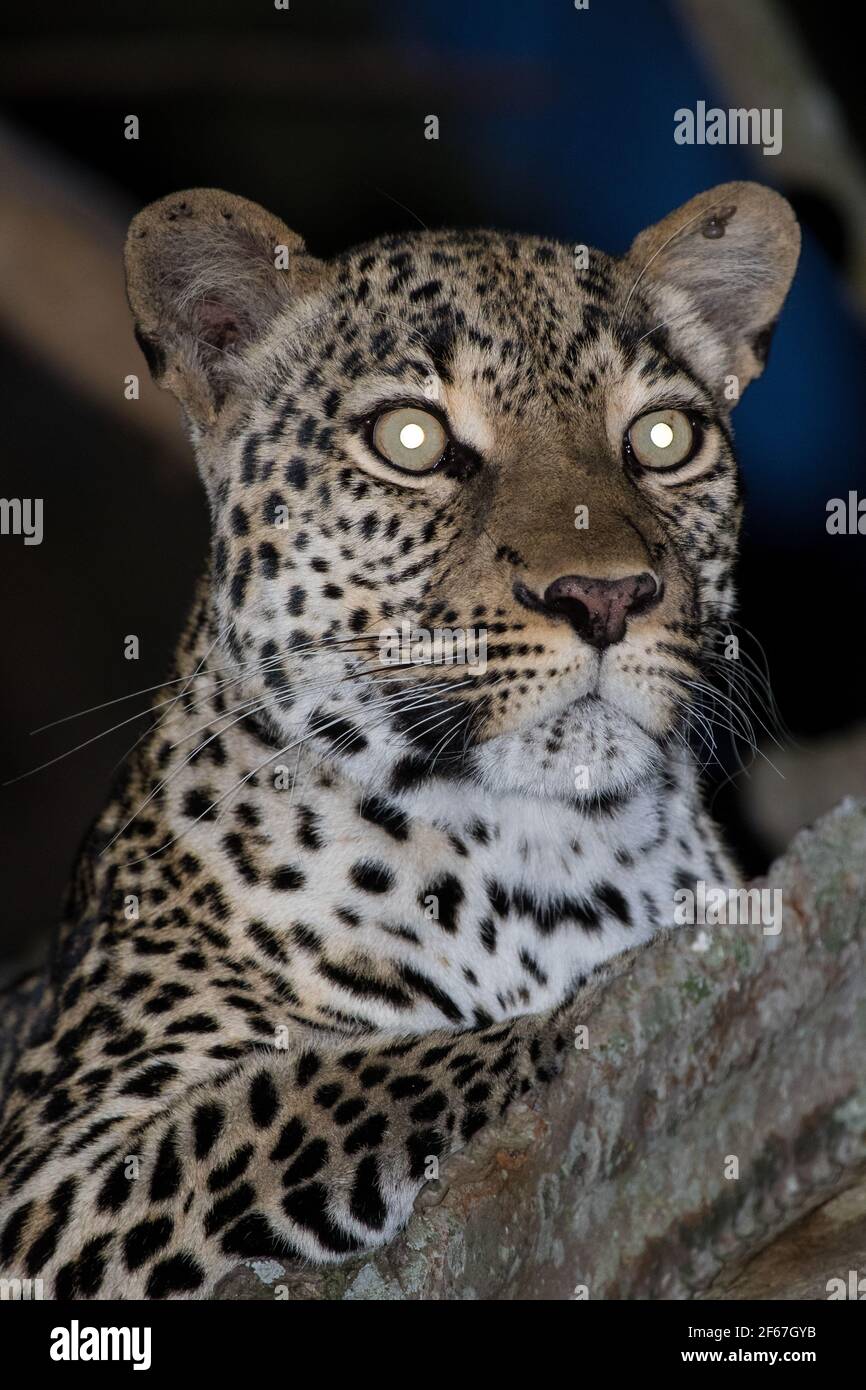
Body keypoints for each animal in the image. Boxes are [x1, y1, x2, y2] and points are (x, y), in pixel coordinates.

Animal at [0, 181, 799, 1299]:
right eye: (411, 439)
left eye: (664, 437)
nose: (603, 596)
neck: (547, 859)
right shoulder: (51, 1181)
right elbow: (333, 1081)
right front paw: (580, 1011)